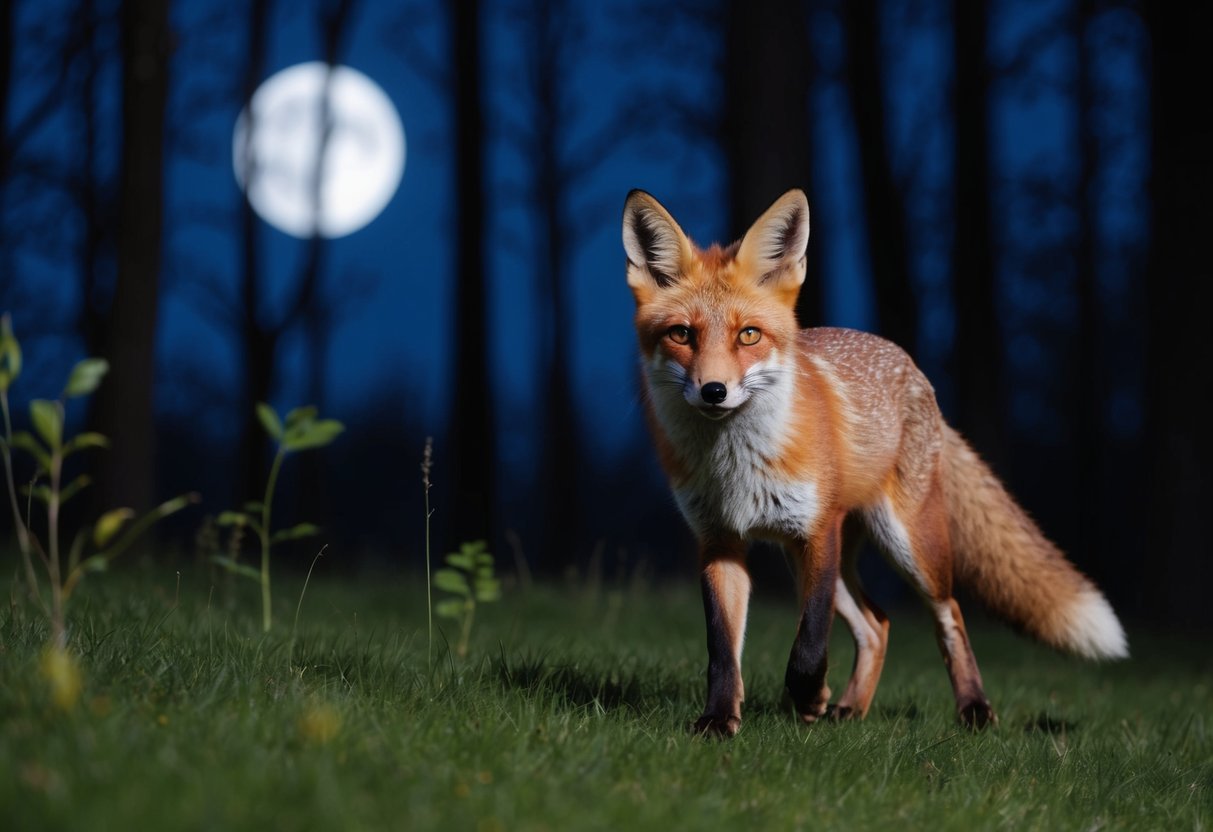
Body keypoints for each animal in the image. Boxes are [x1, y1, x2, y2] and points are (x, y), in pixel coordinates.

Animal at [621, 187, 1128, 737]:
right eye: (682, 335)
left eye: (749, 336)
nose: (714, 391)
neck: (734, 465)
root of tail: (913, 370)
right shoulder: (719, 541)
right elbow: (721, 649)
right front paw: (719, 720)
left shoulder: (818, 531)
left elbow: (809, 642)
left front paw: (806, 696)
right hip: (820, 558)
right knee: (878, 624)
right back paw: (851, 709)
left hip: (907, 546)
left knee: (948, 613)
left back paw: (973, 708)